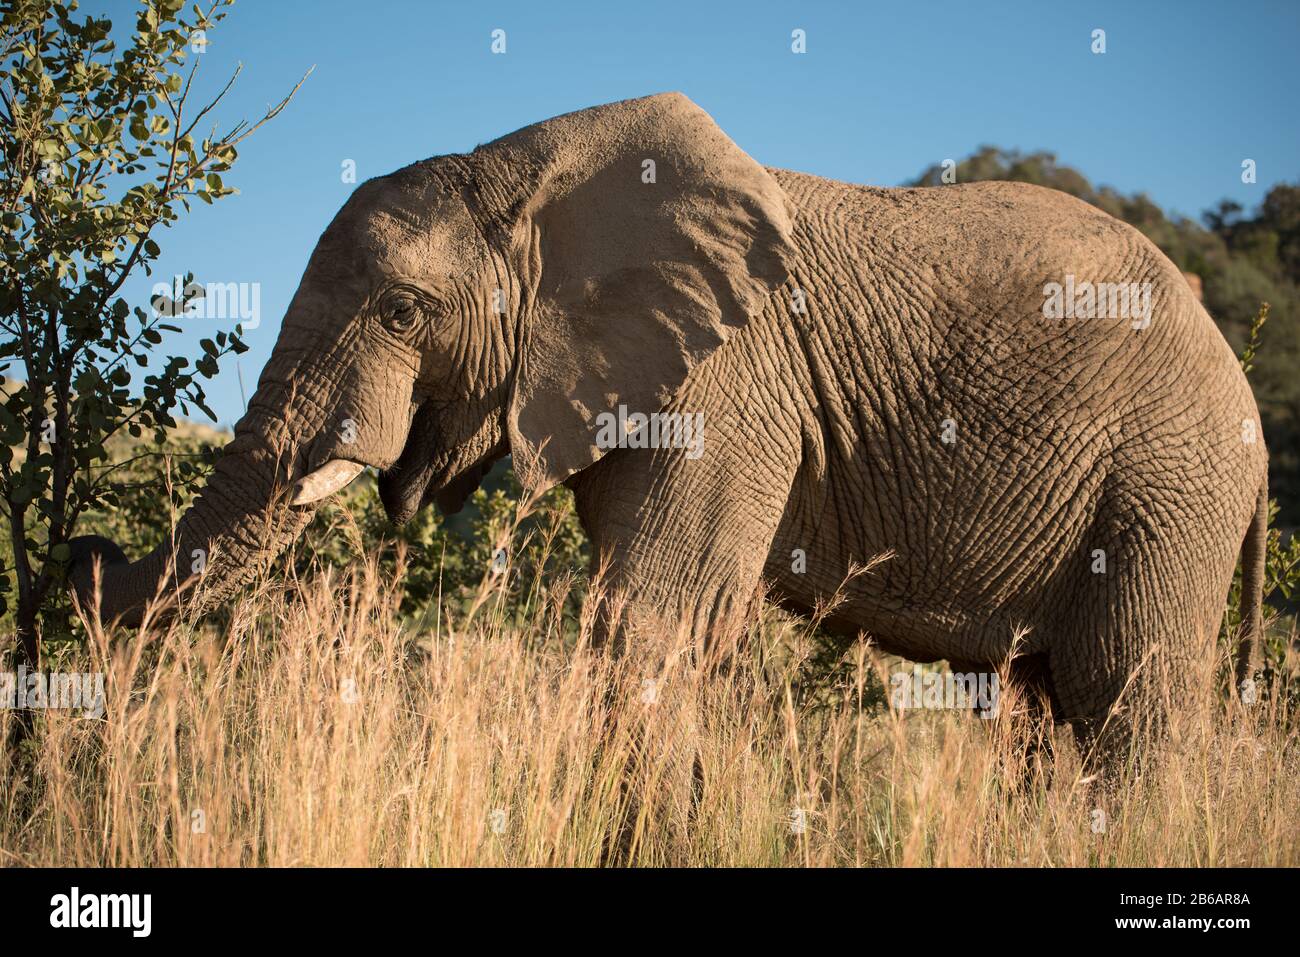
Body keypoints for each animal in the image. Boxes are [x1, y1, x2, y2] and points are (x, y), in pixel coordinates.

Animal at [70, 92, 1269, 752]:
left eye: (402, 311)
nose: (80, 548)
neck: (524, 173)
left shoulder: (728, 387)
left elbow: (655, 619)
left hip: (1168, 483)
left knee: (1122, 699)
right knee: (1036, 709)